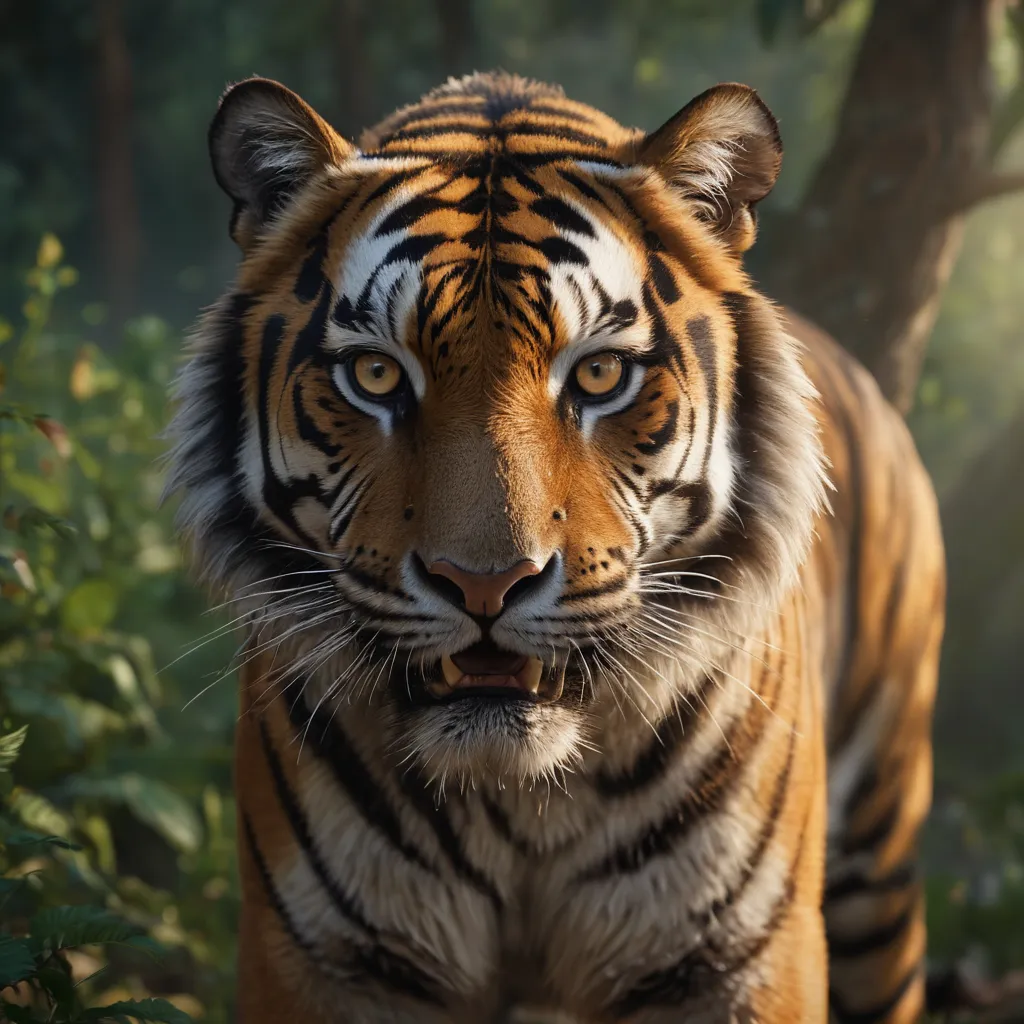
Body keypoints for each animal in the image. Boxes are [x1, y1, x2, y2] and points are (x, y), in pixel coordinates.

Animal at [167, 72, 945, 1023]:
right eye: (377, 375)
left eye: (600, 375)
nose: (484, 584)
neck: (521, 803)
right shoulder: (327, 957)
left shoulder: (735, 957)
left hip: (880, 860)